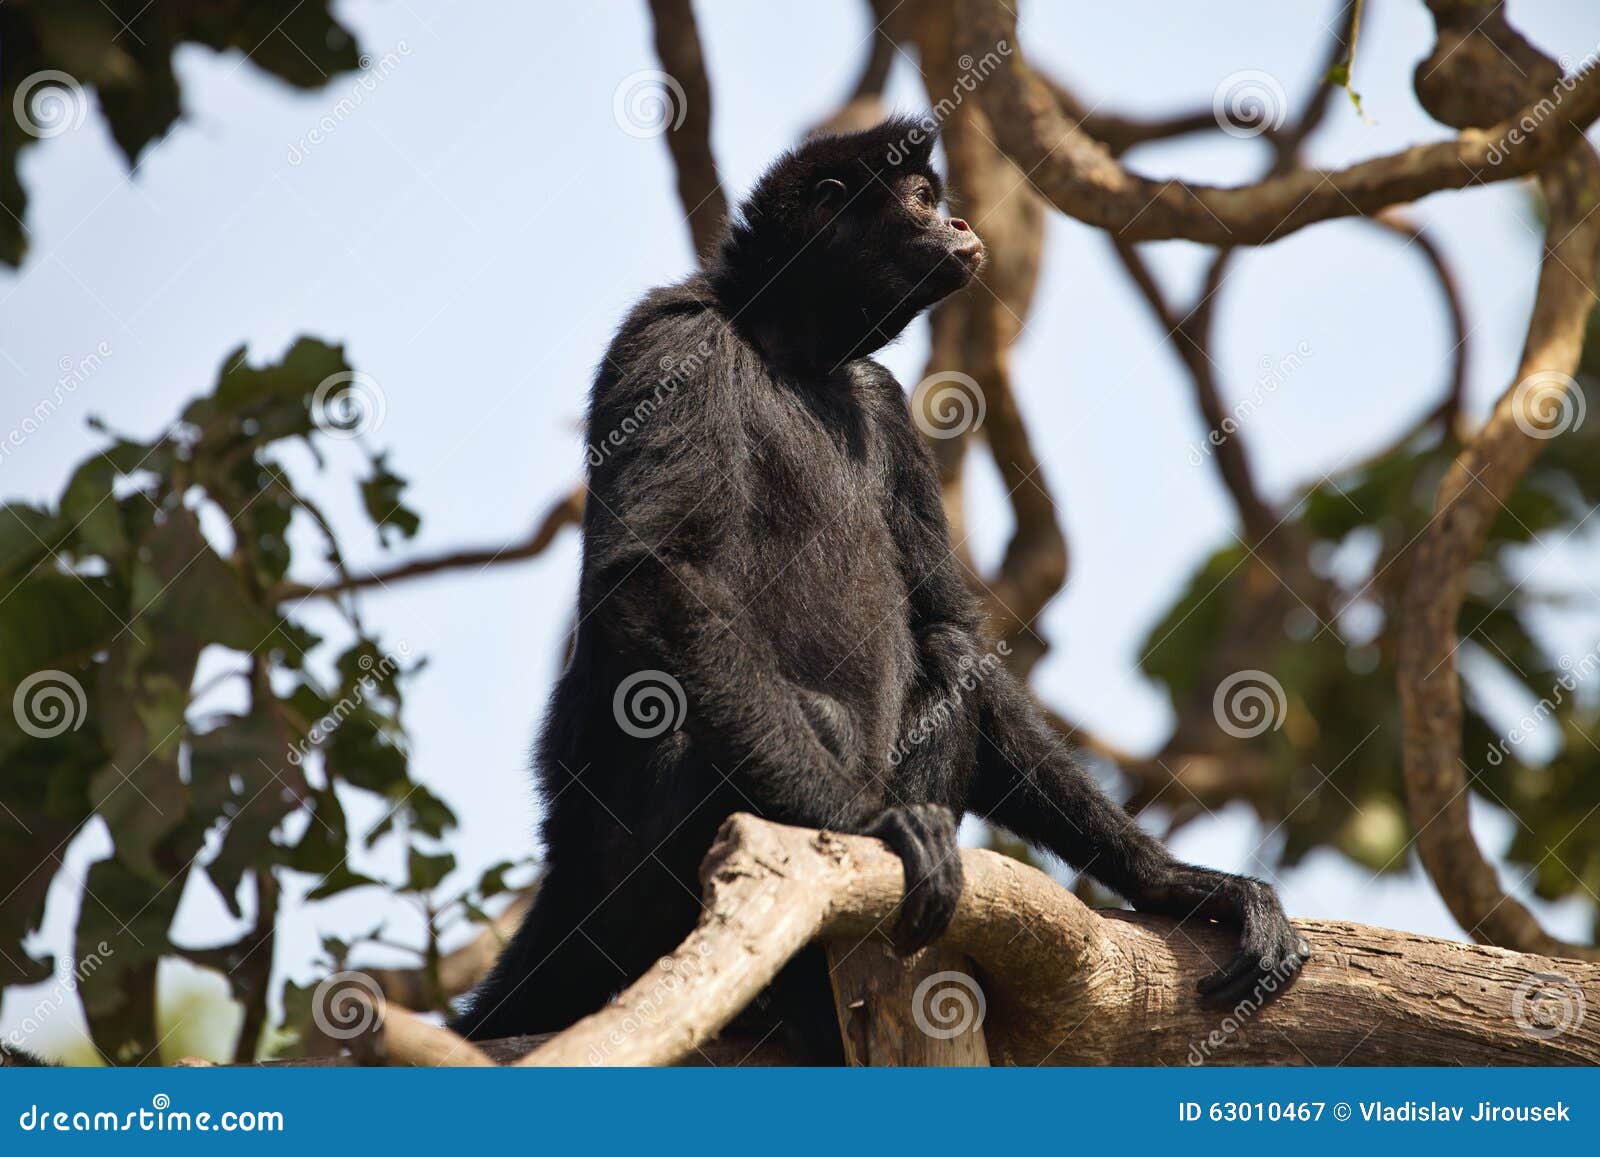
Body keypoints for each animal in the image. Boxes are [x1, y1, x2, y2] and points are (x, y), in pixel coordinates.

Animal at [452, 117, 1308, 1054]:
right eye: (925, 198)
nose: (962, 223)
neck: (788, 349)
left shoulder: (882, 396)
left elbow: (953, 629)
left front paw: (1173, 881)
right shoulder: (673, 338)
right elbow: (649, 575)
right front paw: (866, 827)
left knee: (944, 655)